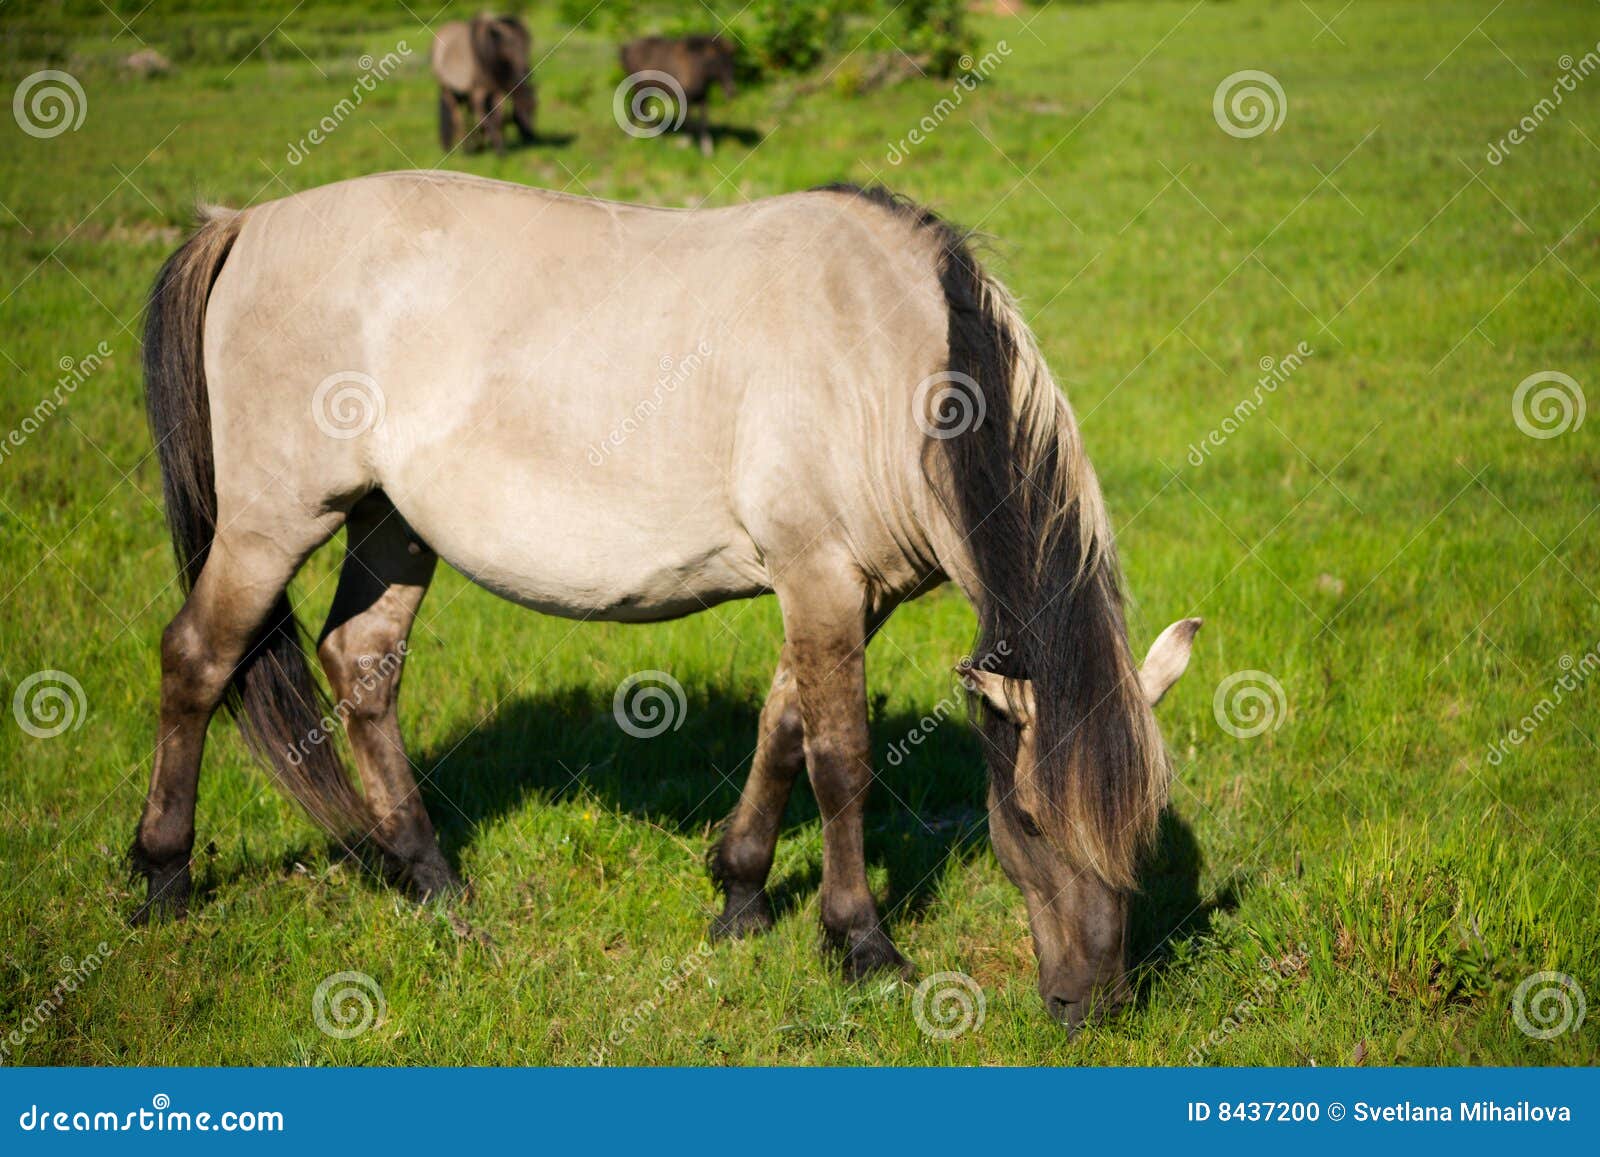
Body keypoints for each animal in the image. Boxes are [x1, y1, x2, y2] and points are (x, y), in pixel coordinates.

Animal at [133, 172, 1199, 1030]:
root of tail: (246, 224)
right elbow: (841, 761)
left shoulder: (845, 593)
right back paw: (162, 878)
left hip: (390, 523)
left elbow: (783, 729)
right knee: (196, 660)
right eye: (1027, 821)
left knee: (361, 665)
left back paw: (432, 881)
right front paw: (862, 944)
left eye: (1145, 824)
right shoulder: (819, 577)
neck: (888, 359)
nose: (1090, 1005)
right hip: (275, 521)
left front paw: (740, 897)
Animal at [431, 14, 536, 153]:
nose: (531, 137)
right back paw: (465, 148)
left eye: (528, 41)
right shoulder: (478, 93)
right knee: (457, 117)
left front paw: (496, 145)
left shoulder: (496, 91)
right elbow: (483, 118)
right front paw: (493, 144)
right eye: (510, 42)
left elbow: (497, 118)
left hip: (463, 93)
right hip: (447, 89)